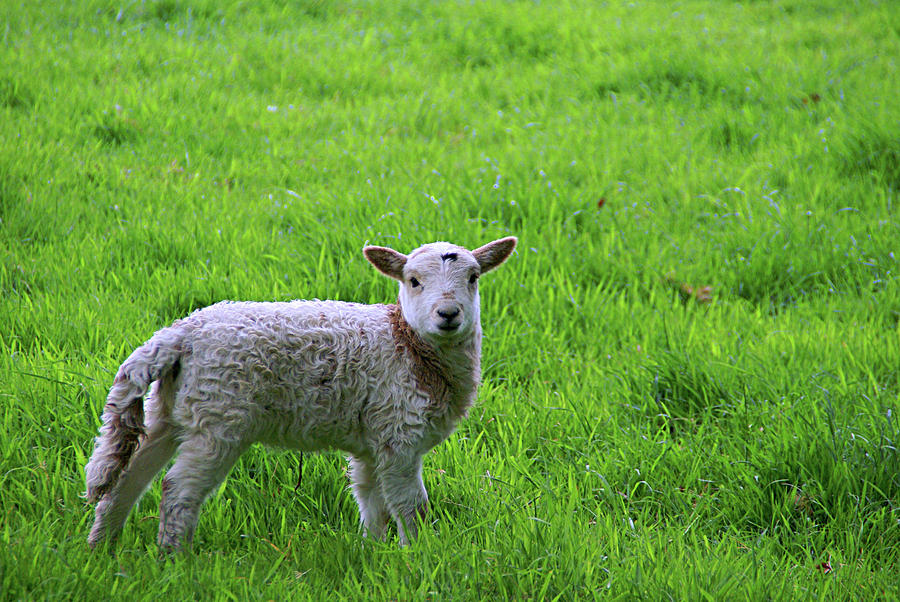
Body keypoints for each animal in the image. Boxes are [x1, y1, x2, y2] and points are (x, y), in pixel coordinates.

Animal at [84, 236, 517, 550]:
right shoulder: (399, 434)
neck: (409, 345)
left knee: (128, 478)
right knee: (176, 490)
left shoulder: (372, 439)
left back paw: (101, 547)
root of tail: (181, 334)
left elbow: (371, 499)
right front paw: (421, 554)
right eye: (413, 281)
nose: (448, 314)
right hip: (220, 419)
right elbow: (411, 506)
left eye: (473, 278)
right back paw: (175, 559)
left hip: (170, 409)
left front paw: (375, 551)